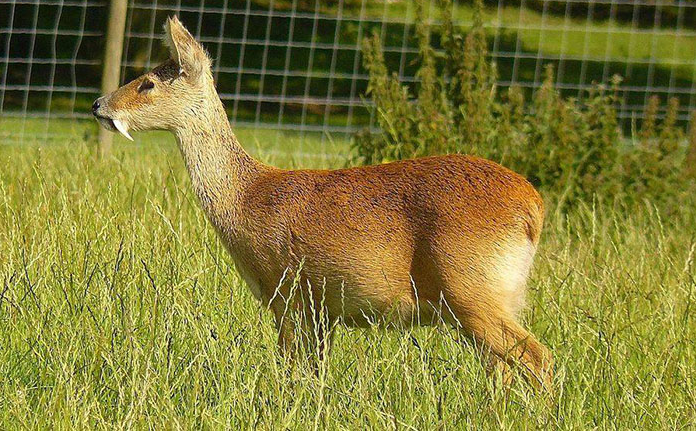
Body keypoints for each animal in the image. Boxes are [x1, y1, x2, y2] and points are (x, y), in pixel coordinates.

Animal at [92, 16, 553, 390]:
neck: (246, 198)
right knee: (504, 368)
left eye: (148, 83)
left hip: (469, 287)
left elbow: (290, 370)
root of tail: (532, 207)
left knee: (539, 358)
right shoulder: (321, 309)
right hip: (494, 297)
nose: (99, 104)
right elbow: (316, 373)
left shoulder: (287, 293)